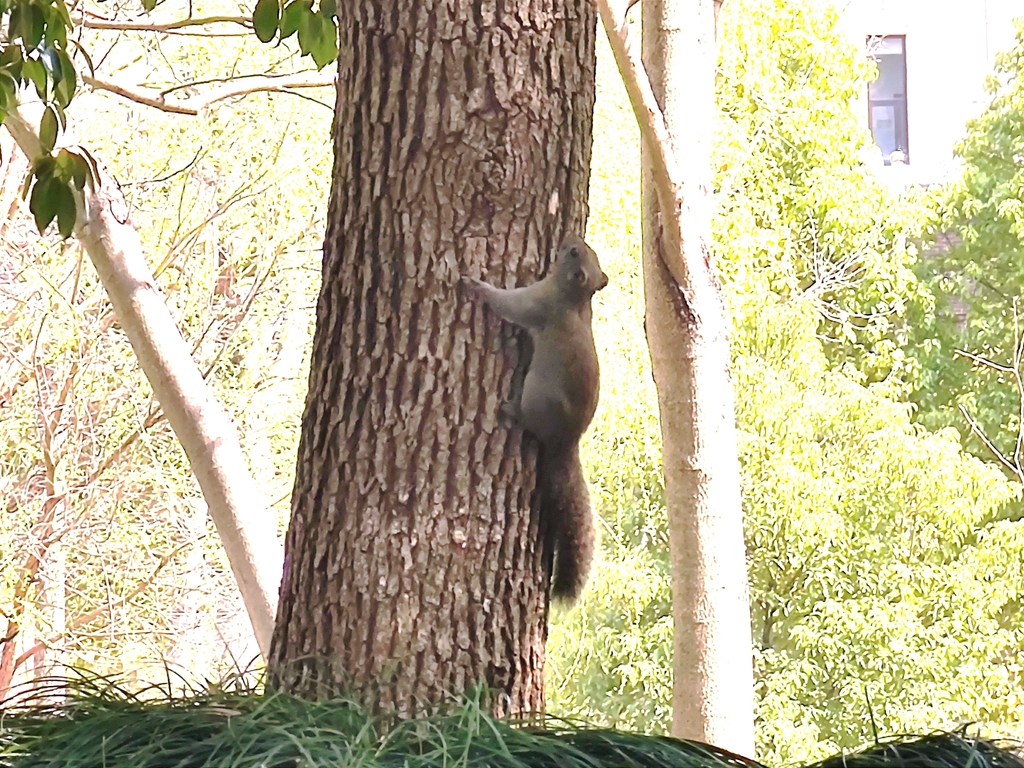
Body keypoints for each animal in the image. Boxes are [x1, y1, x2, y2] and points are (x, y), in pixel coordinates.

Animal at [462, 234, 608, 603]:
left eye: (574, 252)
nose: (570, 238)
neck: (575, 299)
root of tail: (565, 441)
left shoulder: (536, 302)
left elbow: (508, 304)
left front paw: (476, 285)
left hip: (536, 395)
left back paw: (511, 411)